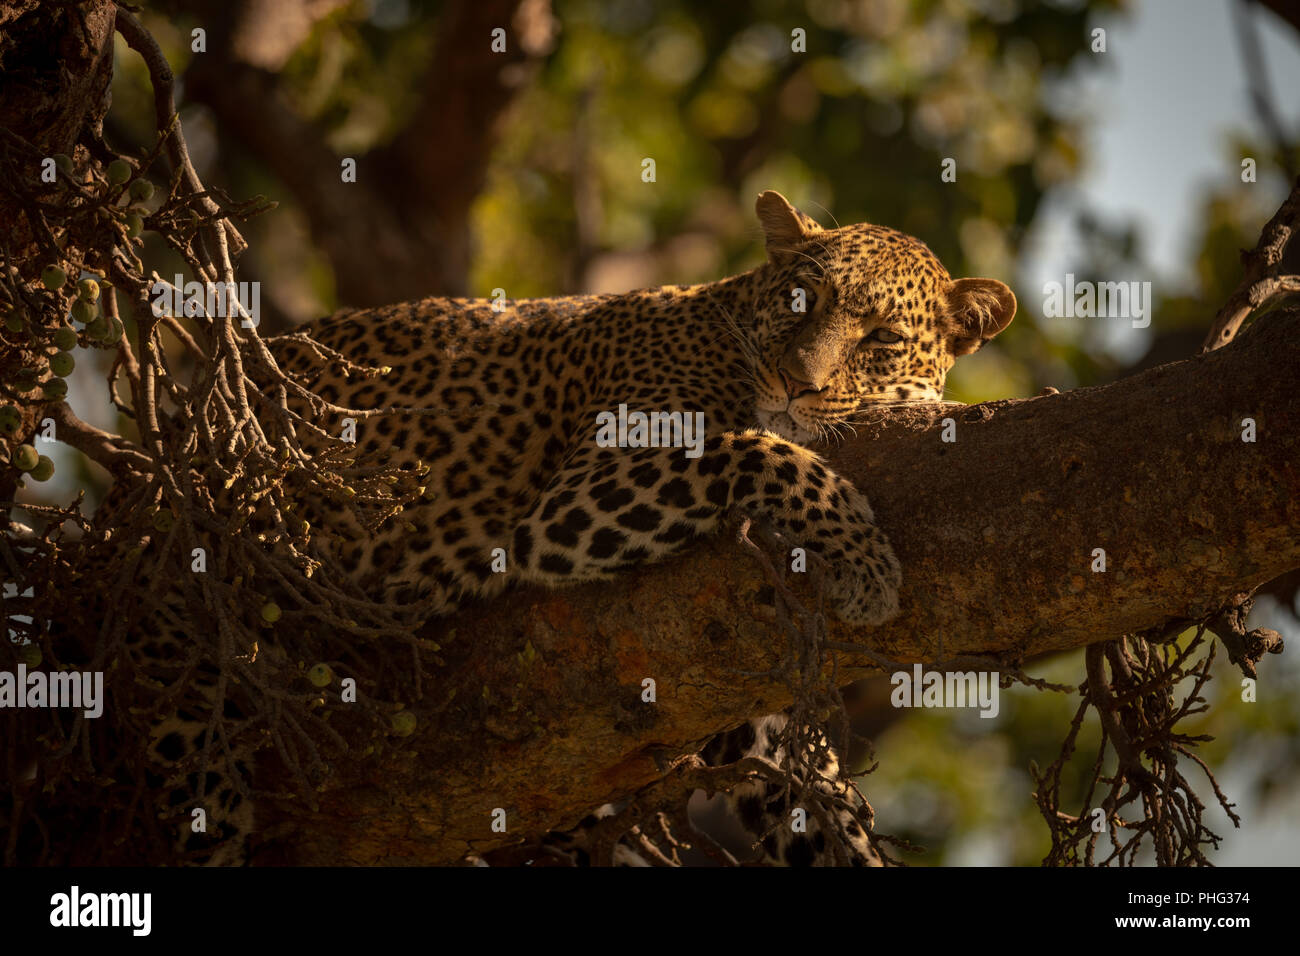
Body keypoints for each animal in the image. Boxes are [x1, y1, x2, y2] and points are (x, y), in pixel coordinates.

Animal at [141, 190, 1016, 865]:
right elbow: (748, 445)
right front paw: (863, 556)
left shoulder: (752, 716)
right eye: (804, 301)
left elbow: (823, 802)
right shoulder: (581, 492)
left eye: (882, 339)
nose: (796, 382)